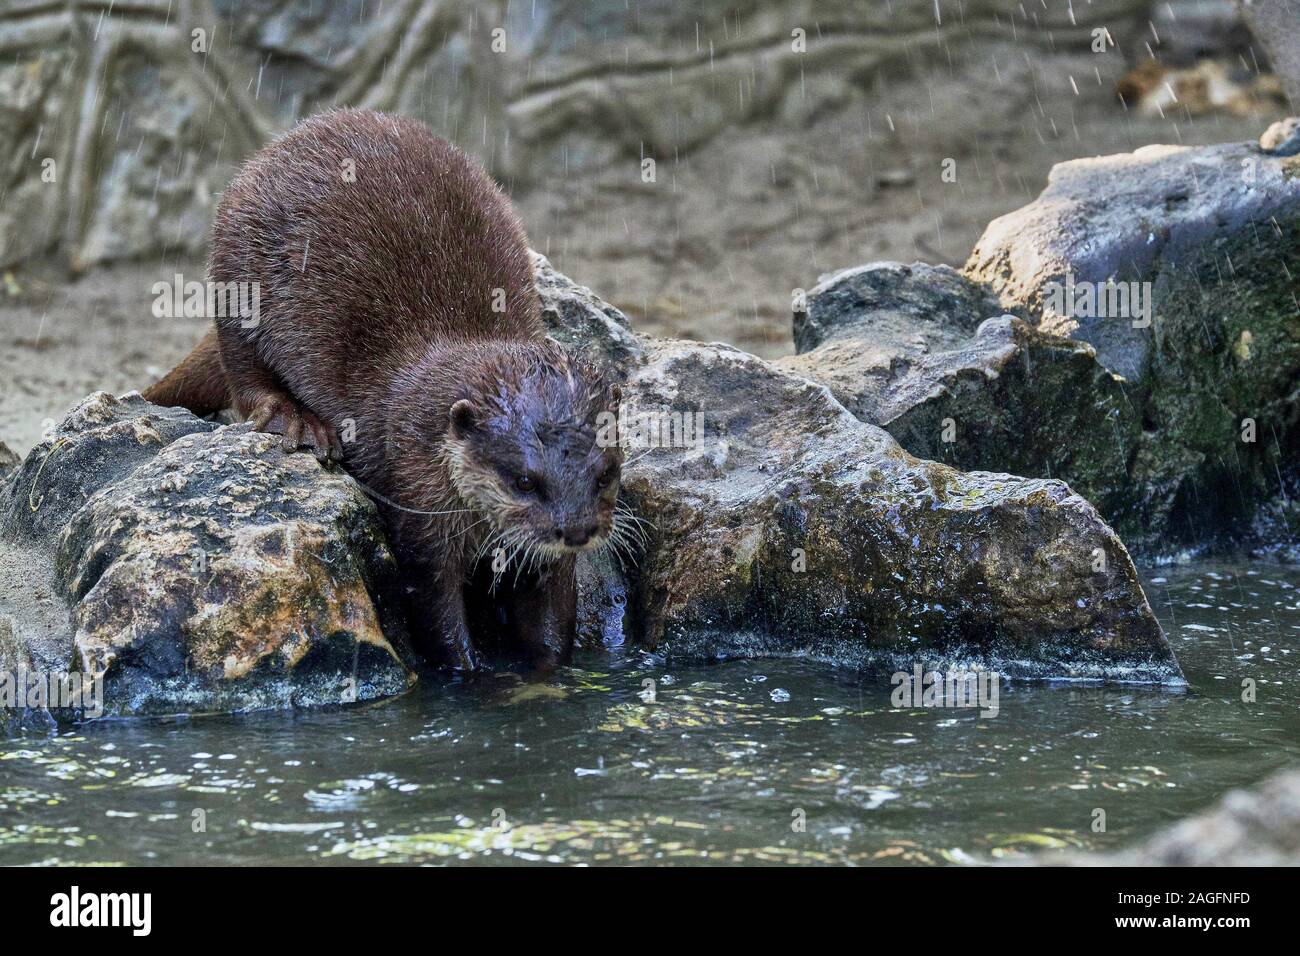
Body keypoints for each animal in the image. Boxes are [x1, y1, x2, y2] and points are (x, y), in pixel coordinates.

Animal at [144, 109, 624, 673]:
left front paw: (546, 673)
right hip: (236, 266)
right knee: (242, 369)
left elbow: (550, 614)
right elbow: (436, 613)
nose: (577, 529)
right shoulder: (413, 505)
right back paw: (296, 419)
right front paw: (471, 675)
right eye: (524, 480)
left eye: (606, 474)